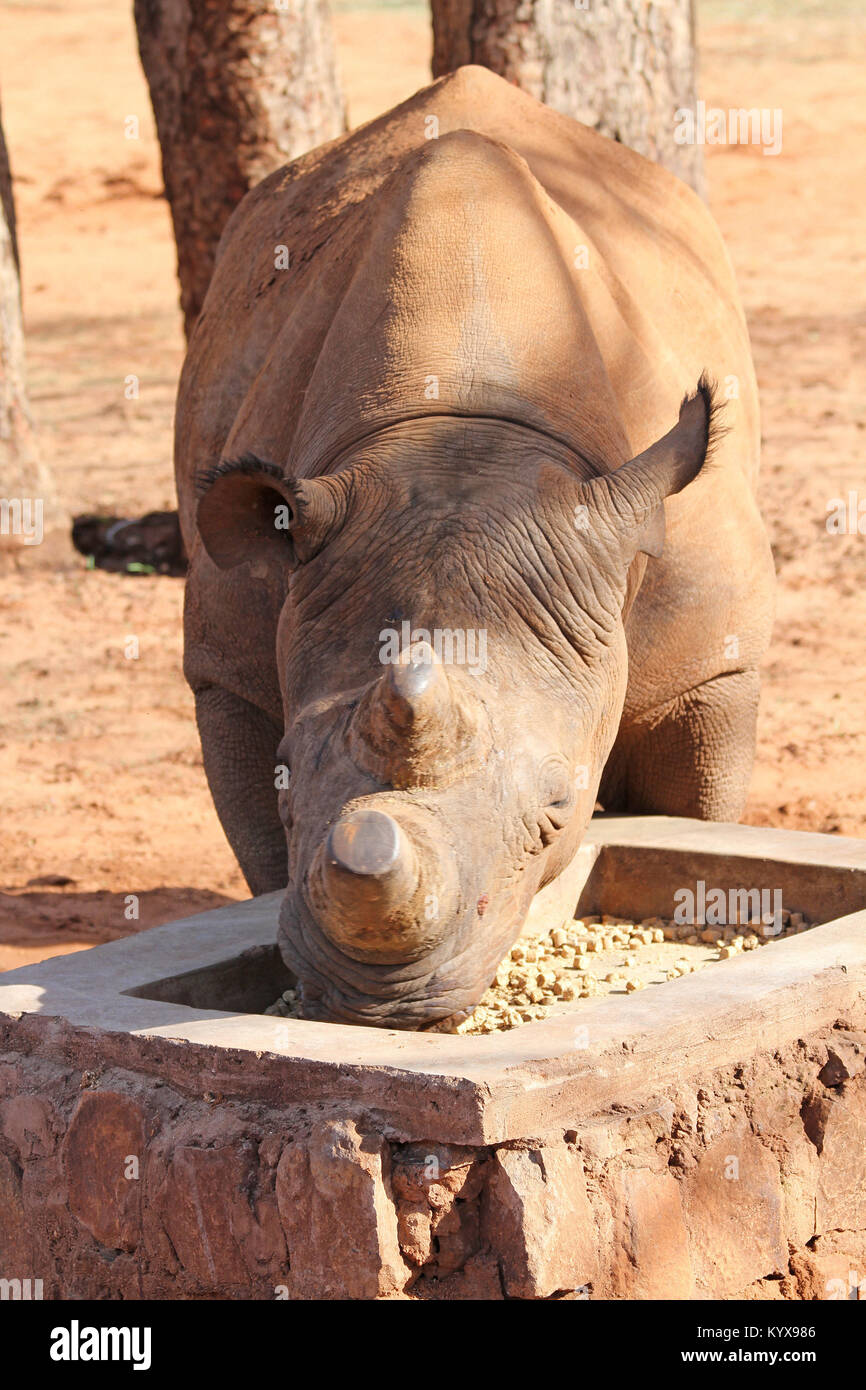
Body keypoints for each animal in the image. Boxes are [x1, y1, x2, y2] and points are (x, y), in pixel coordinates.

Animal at [177, 66, 775, 1028]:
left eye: (559, 808)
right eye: (283, 774)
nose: (378, 1001)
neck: (458, 429)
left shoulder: (712, 661)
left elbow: (702, 807)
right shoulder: (229, 670)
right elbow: (264, 854)